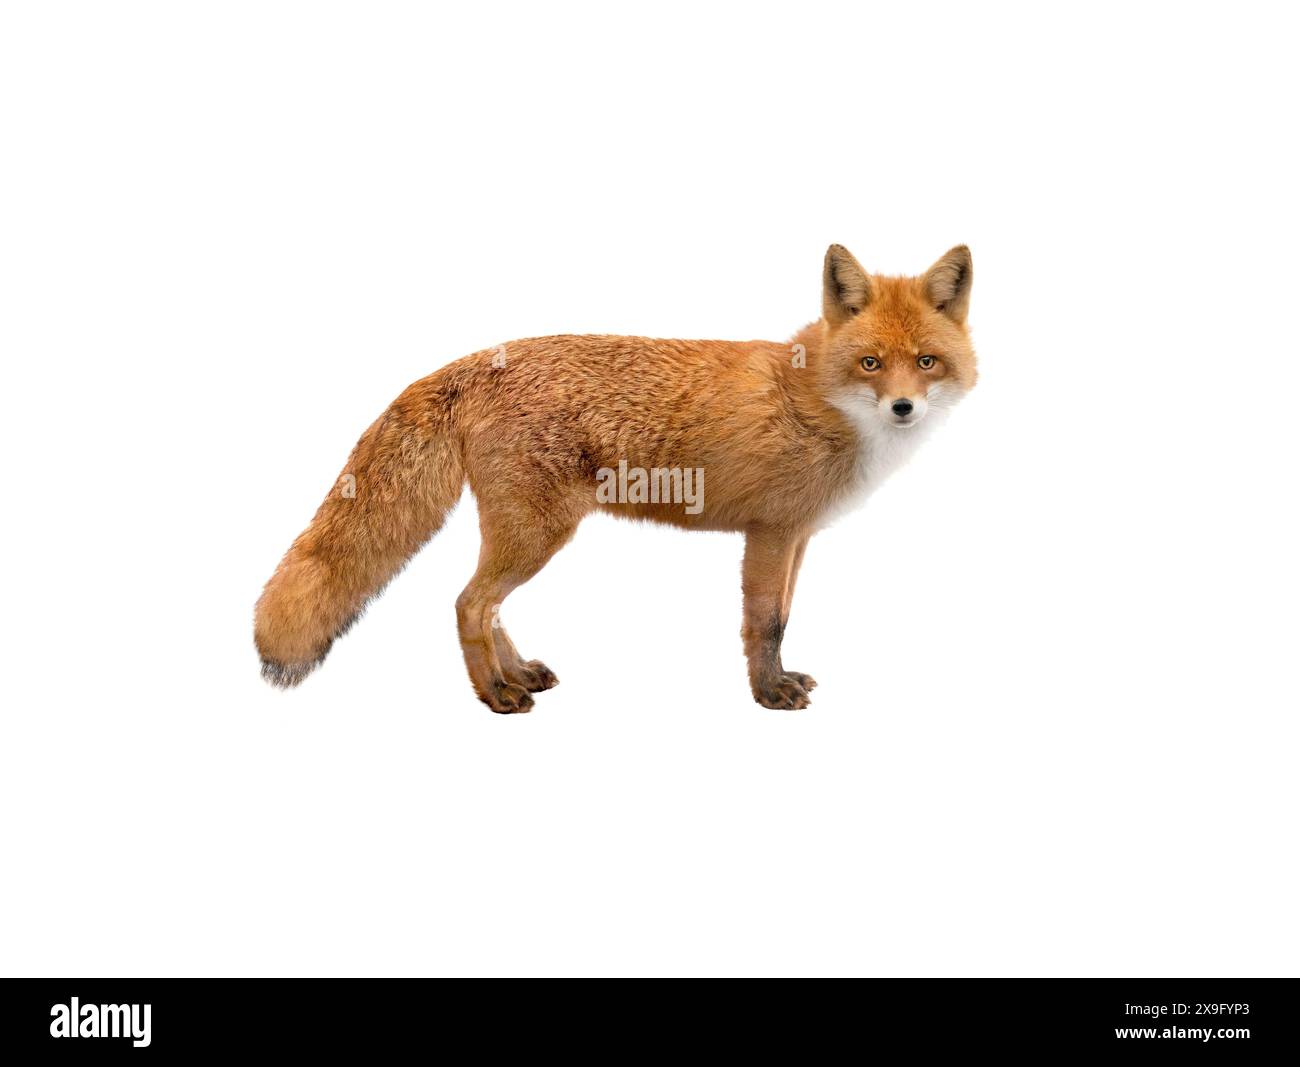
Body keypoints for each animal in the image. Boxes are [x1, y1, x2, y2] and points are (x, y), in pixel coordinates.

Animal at [255, 244, 977, 712]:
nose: (903, 408)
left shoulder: (797, 536)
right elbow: (764, 622)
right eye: (871, 363)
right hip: (537, 536)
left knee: (485, 606)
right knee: (469, 604)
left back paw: (517, 673)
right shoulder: (770, 533)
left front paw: (774, 682)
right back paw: (494, 694)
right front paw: (767, 693)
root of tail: (478, 358)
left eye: (927, 362)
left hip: (525, 537)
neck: (816, 398)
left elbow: (785, 616)